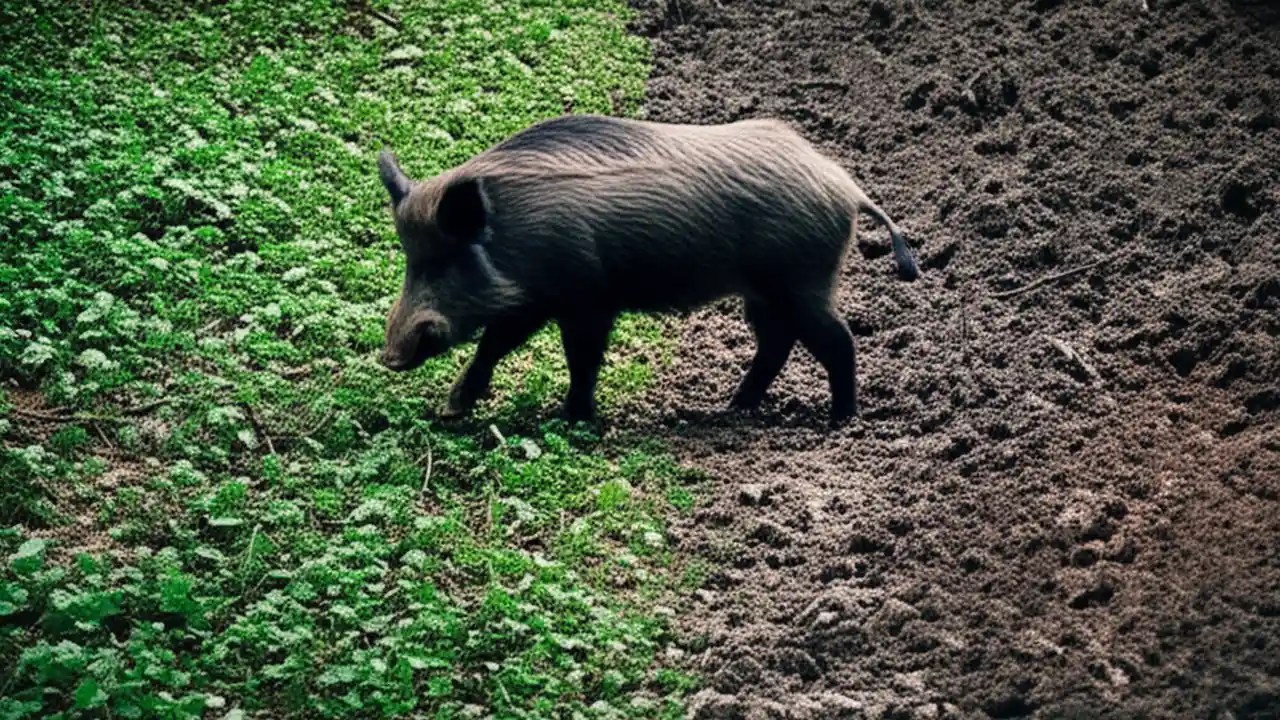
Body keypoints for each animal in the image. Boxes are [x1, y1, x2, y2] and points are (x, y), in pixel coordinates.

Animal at [376, 113, 918, 426]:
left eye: (446, 261)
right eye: (410, 260)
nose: (390, 358)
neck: (514, 231)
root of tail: (846, 188)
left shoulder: (587, 299)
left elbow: (581, 359)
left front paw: (575, 420)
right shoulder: (535, 301)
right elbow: (493, 346)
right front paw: (451, 410)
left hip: (800, 282)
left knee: (837, 340)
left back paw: (841, 420)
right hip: (765, 293)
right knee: (776, 343)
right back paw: (730, 408)